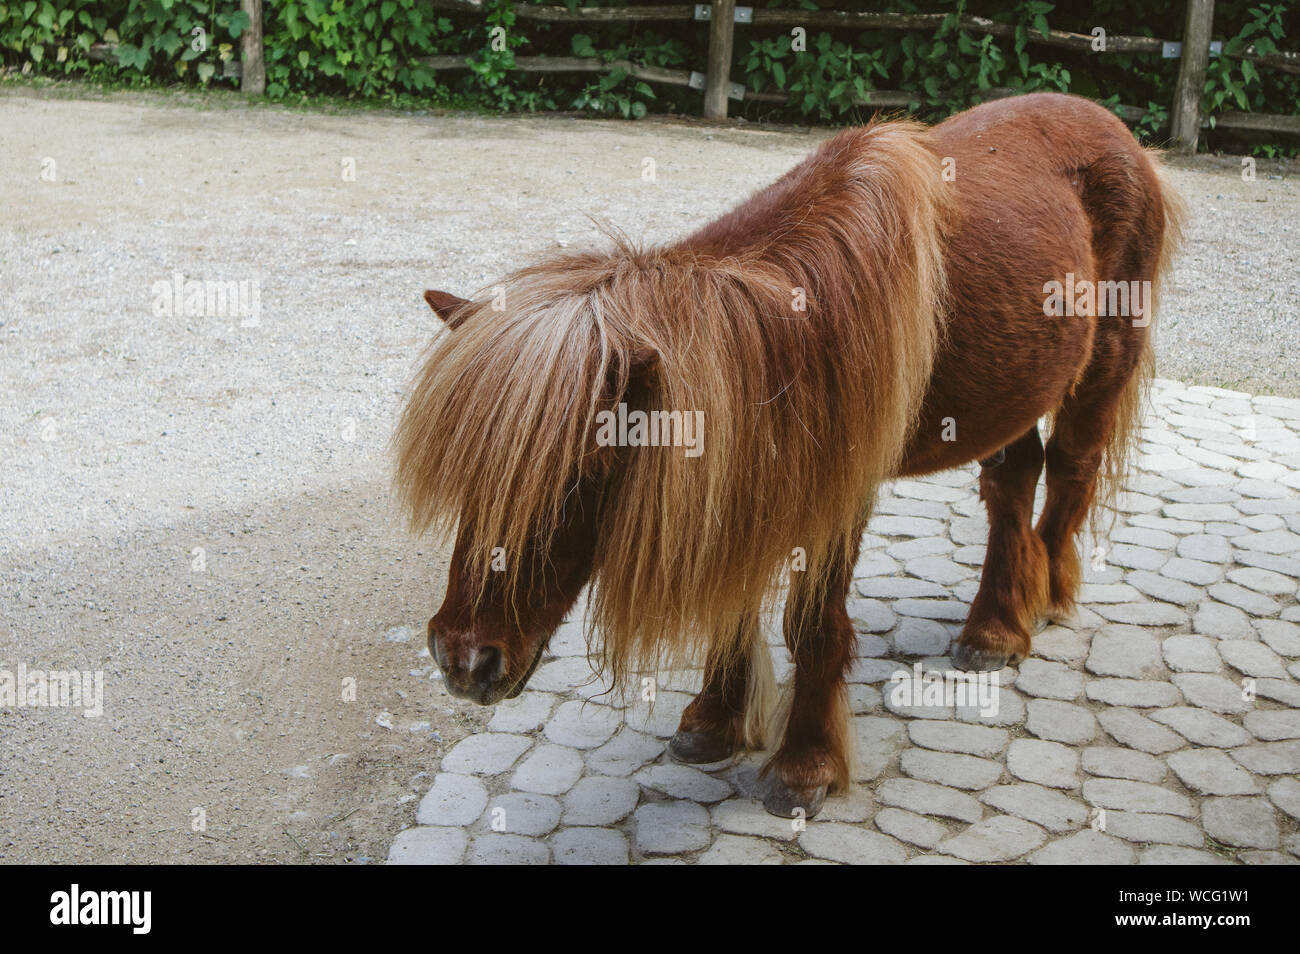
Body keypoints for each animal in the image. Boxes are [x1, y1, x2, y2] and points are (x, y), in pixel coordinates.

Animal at [394, 92, 1185, 818]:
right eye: (467, 473)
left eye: (578, 477)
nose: (463, 658)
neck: (801, 323)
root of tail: (1112, 129)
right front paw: (715, 720)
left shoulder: (841, 493)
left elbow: (812, 624)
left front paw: (806, 767)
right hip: (1013, 382)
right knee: (1012, 480)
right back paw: (994, 624)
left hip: (1105, 360)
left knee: (1070, 472)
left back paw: (1040, 599)